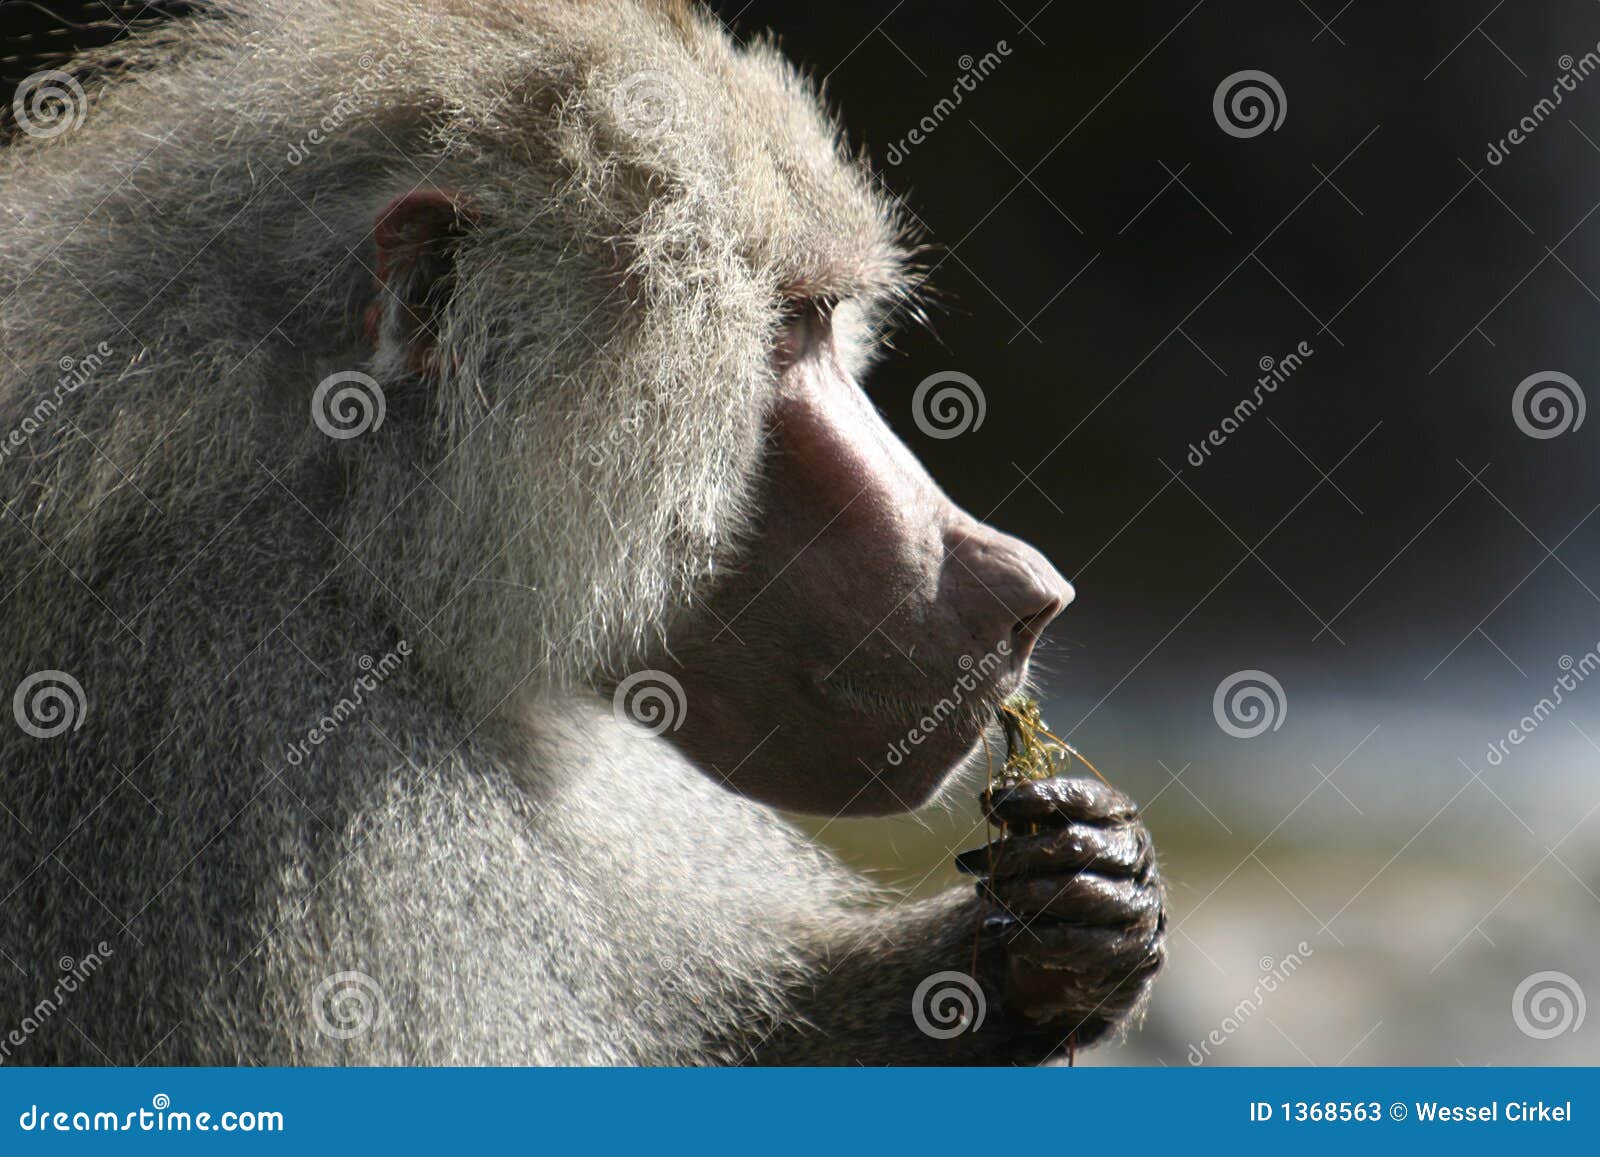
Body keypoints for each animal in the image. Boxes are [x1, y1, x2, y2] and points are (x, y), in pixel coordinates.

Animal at [0, 0, 1164, 1064]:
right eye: (785, 331)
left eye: (822, 321)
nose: (1028, 591)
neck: (347, 540)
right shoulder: (258, 744)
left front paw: (1065, 915)